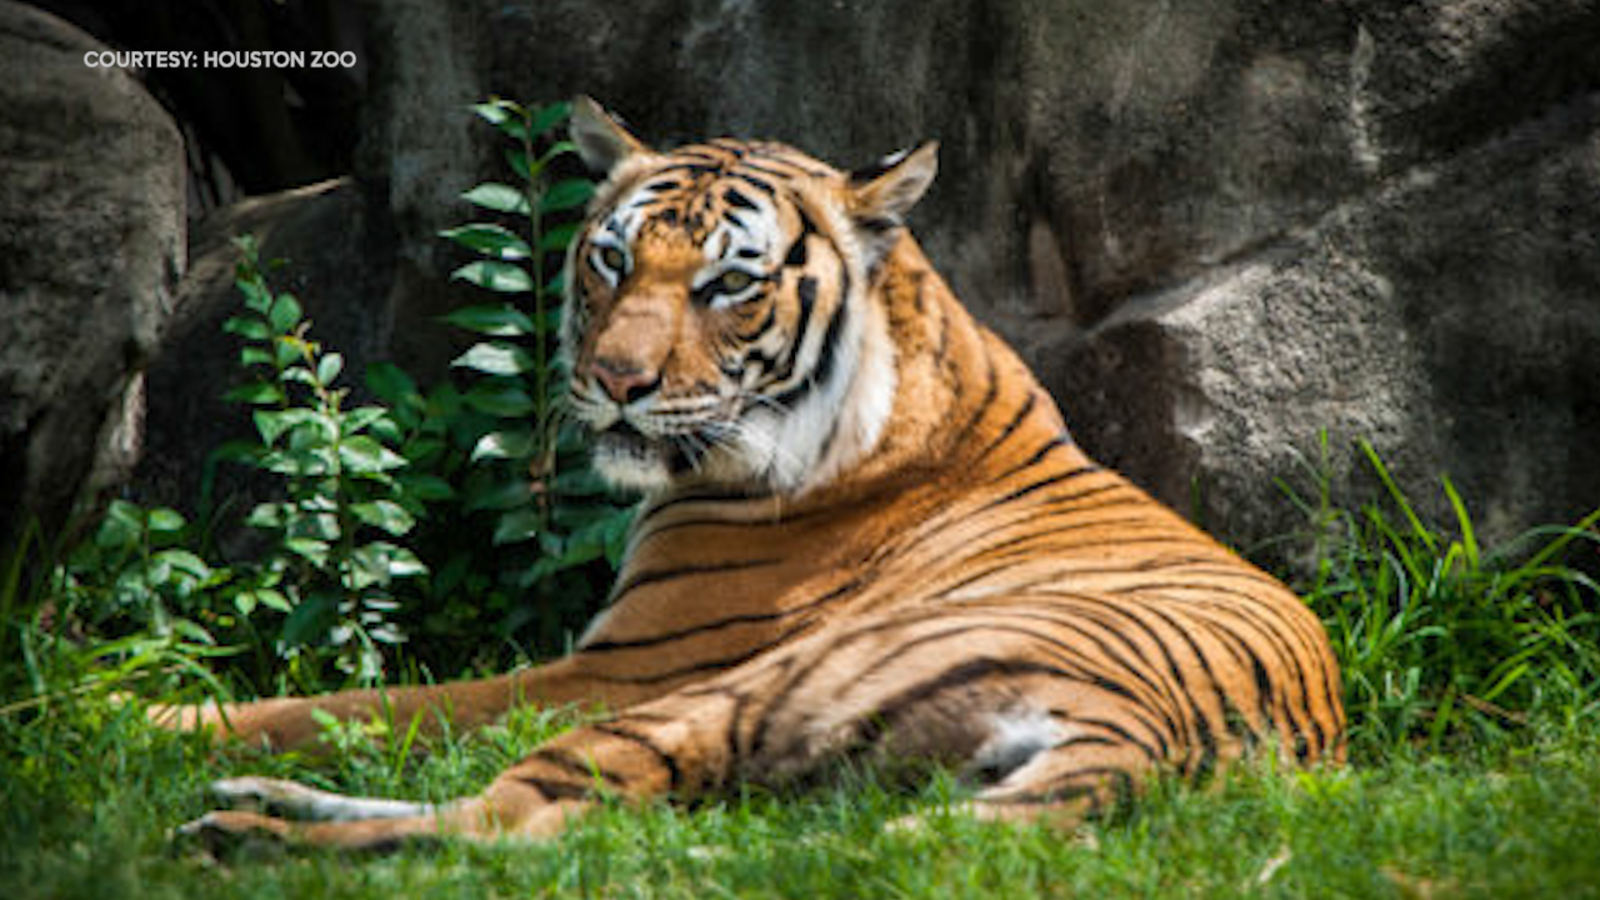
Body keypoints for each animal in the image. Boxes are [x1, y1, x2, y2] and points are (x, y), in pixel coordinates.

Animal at [176, 97, 1345, 849]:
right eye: (611, 258)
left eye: (729, 284)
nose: (613, 381)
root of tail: (1145, 742)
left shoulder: (619, 669)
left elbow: (362, 702)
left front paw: (158, 721)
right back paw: (255, 804)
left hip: (744, 690)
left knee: (517, 829)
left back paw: (243, 829)